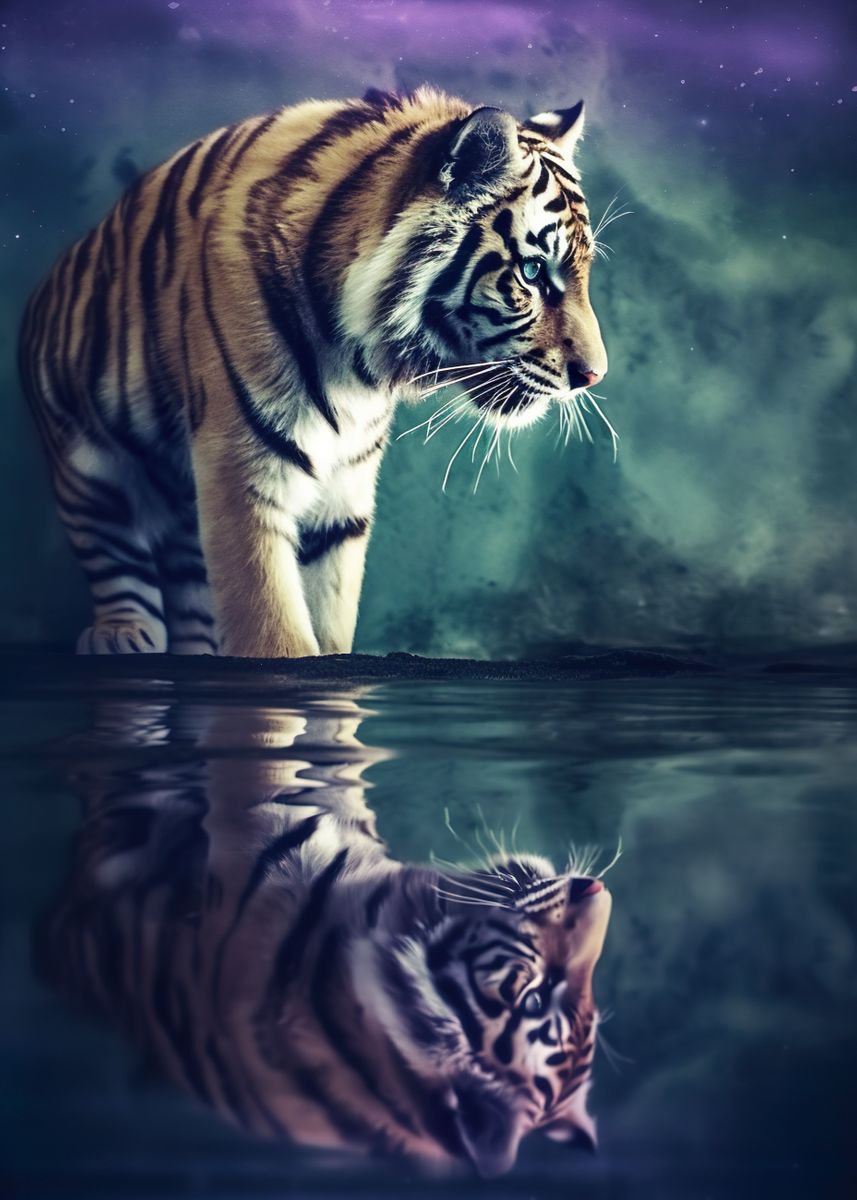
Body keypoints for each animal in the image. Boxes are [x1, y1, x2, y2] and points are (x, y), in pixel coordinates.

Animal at [18, 86, 608, 657]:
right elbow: (272, 628)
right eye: (532, 272)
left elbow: (330, 620)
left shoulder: (344, 496)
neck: (360, 366)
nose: (594, 376)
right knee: (114, 554)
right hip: (84, 464)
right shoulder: (240, 475)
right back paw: (123, 634)